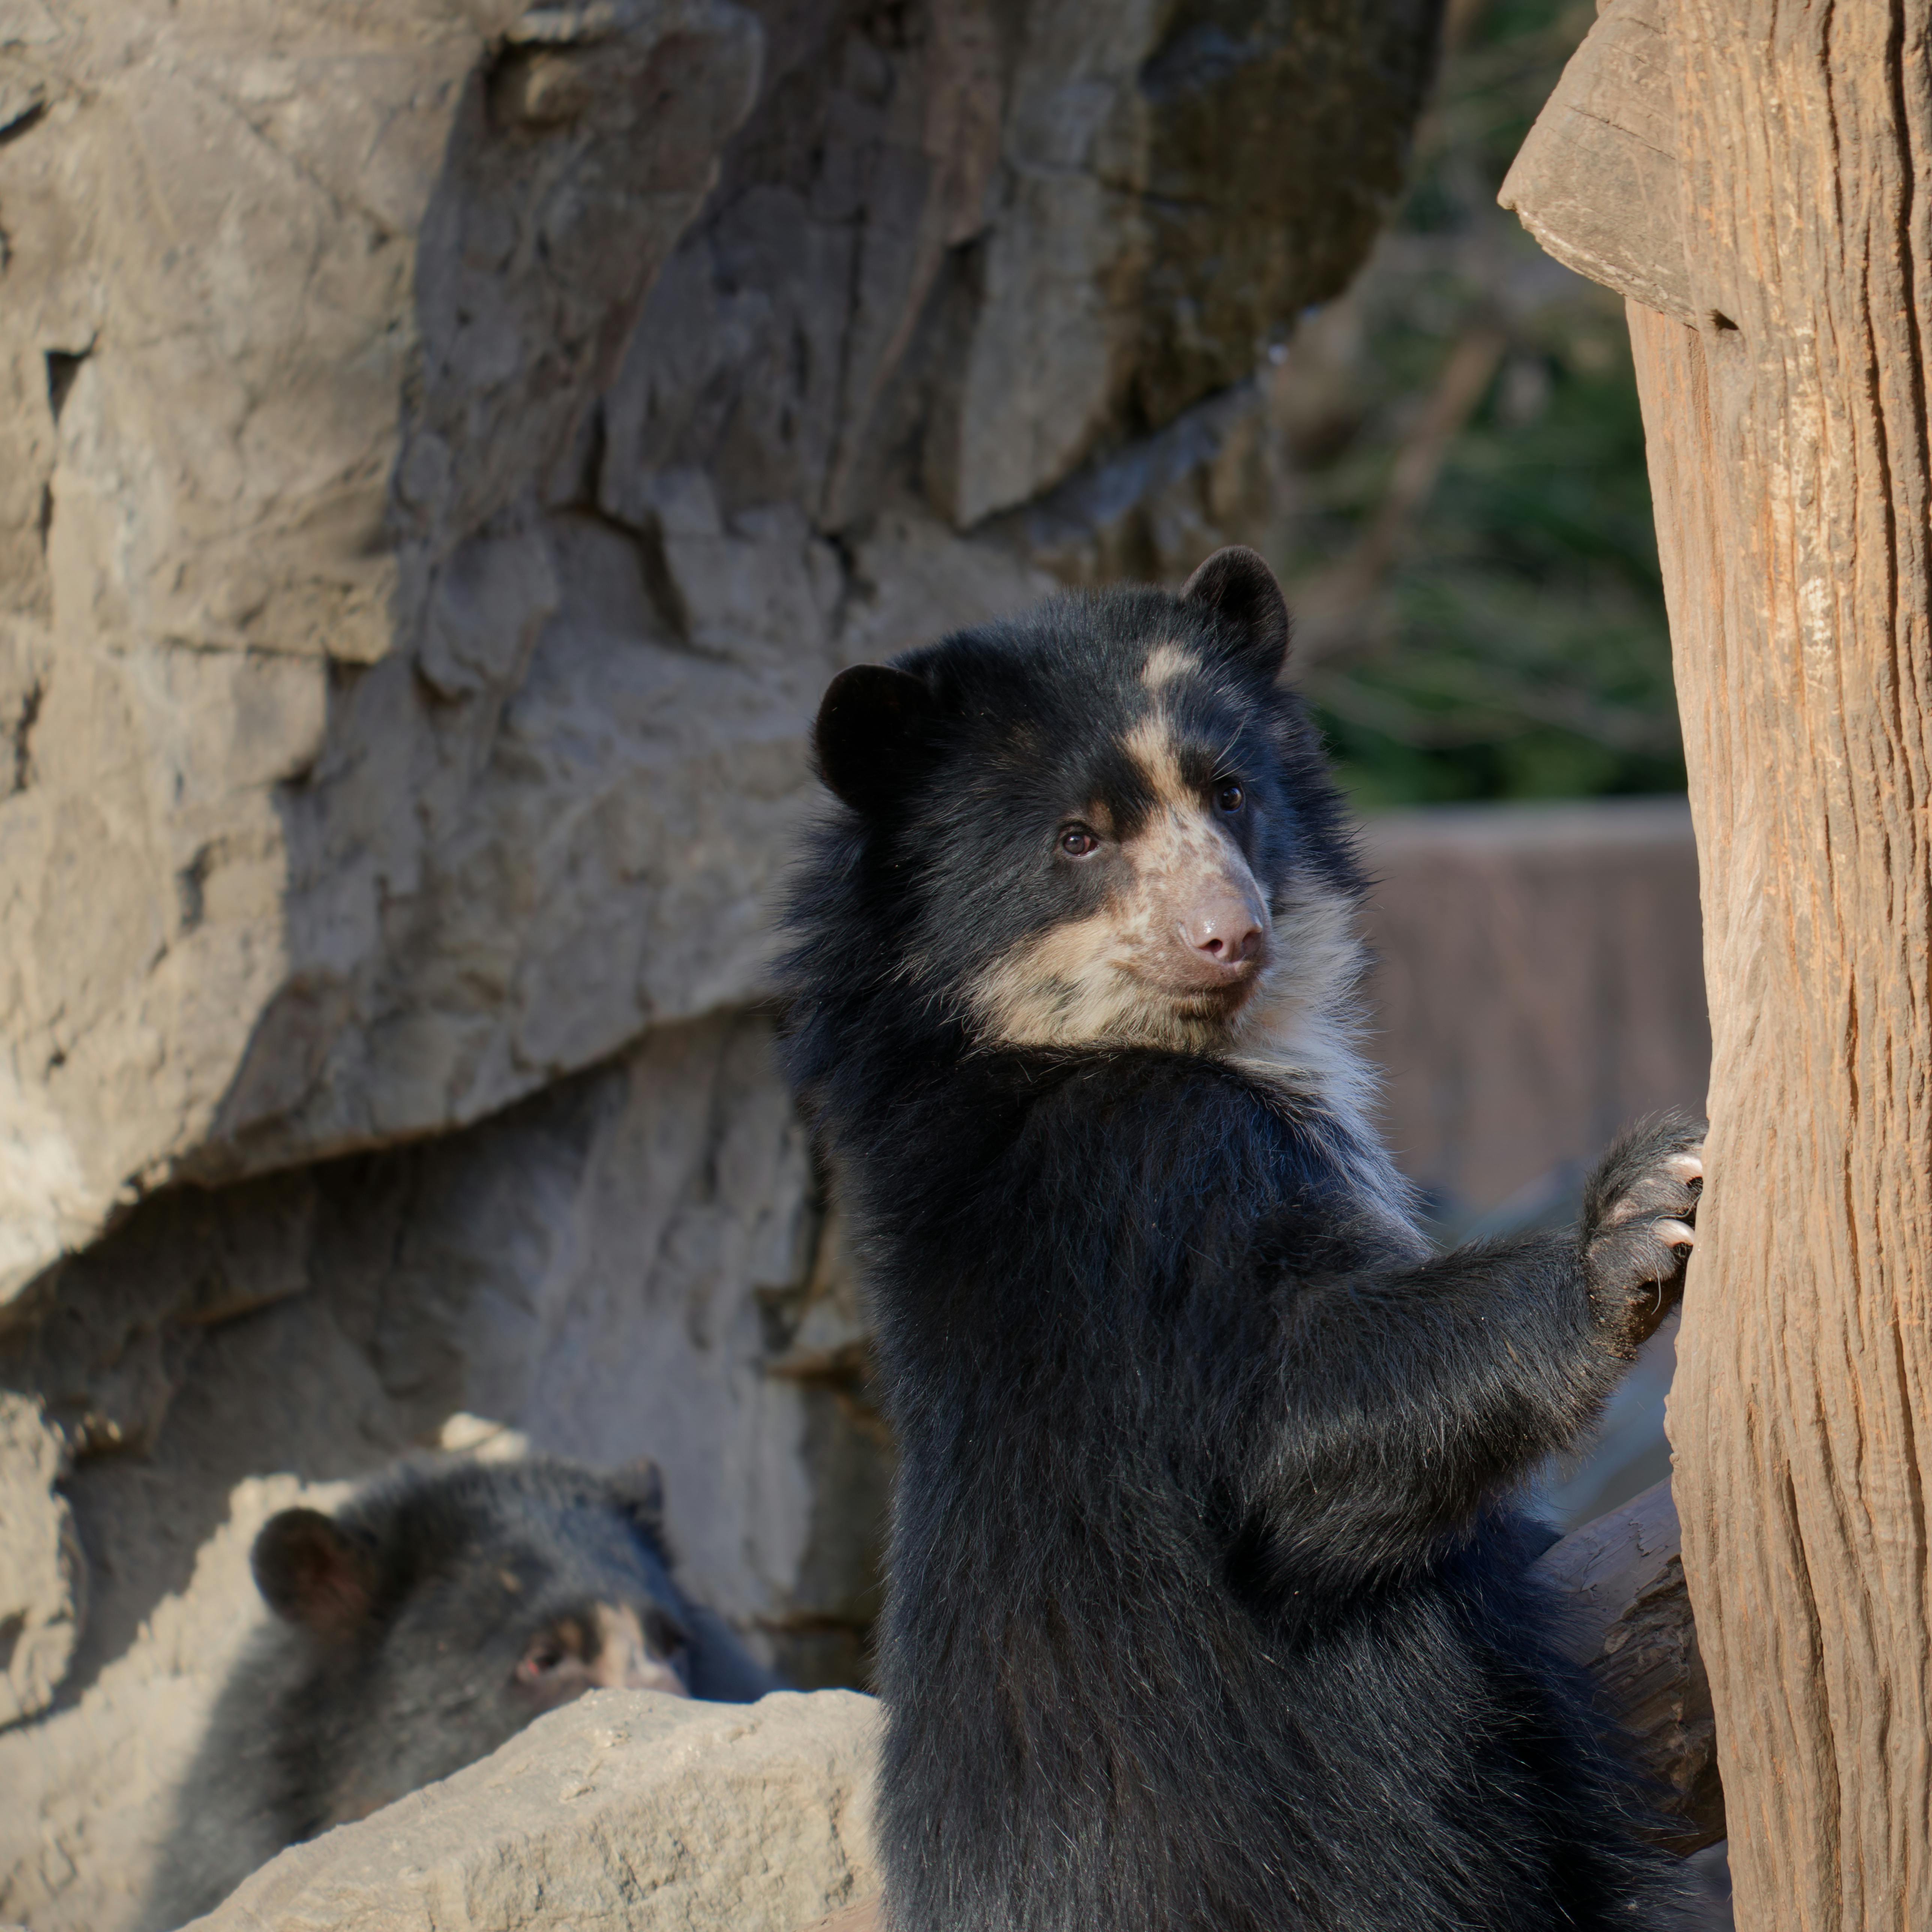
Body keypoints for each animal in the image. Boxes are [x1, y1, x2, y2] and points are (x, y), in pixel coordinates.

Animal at [779, 546, 1703, 1932]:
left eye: (1230, 794)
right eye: (1079, 836)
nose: (1231, 936)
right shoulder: (1146, 1184)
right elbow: (1293, 1426)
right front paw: (1639, 1213)